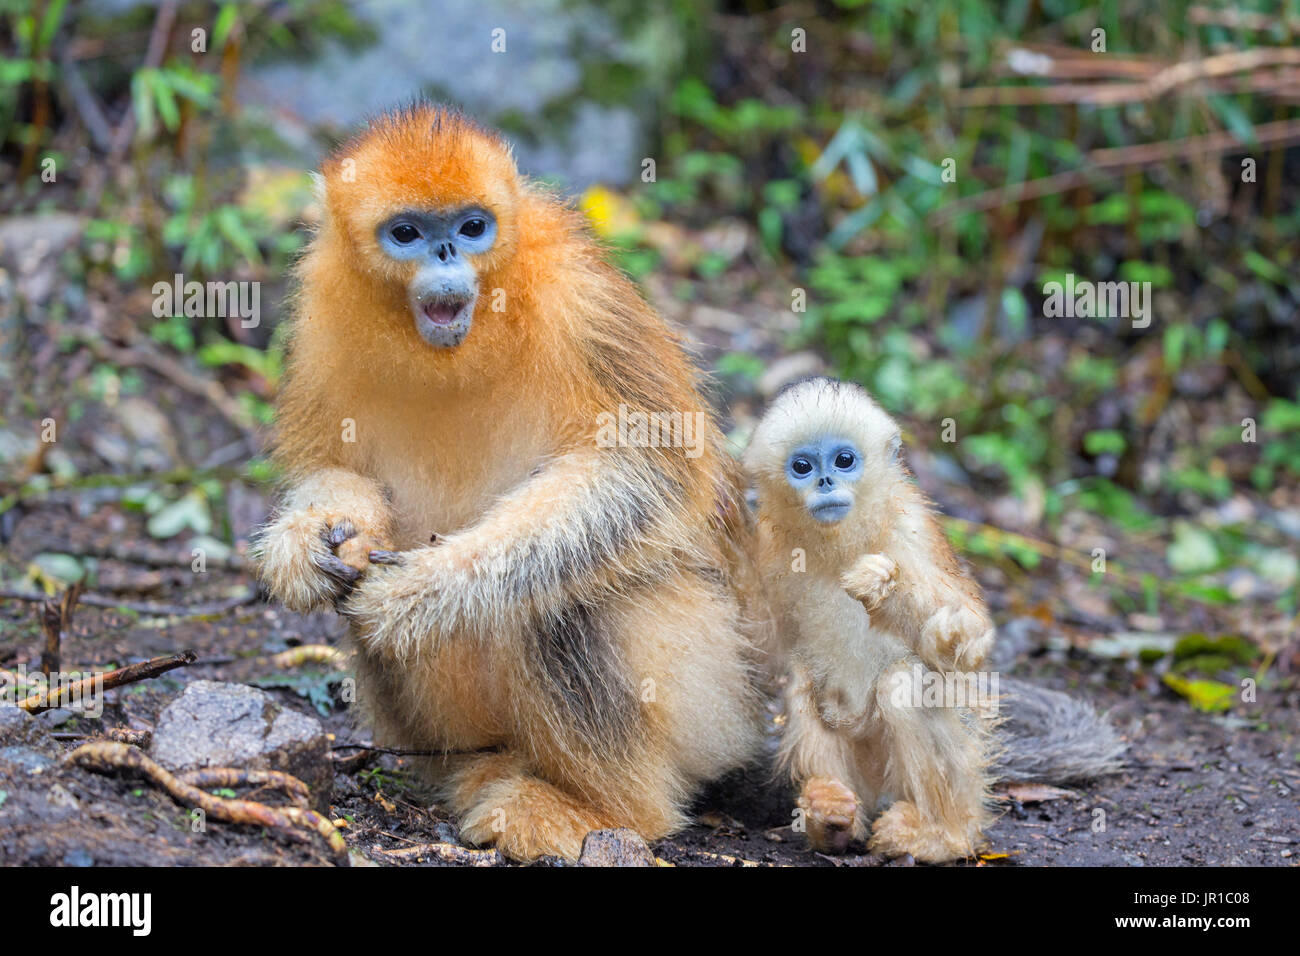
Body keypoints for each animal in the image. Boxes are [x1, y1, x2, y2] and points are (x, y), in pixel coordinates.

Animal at [253, 104, 771, 862]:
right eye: (407, 233)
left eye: (472, 226)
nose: (446, 254)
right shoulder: (322, 315)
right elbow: (334, 470)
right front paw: (308, 543)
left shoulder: (580, 295)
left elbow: (649, 471)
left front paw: (425, 592)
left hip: (712, 695)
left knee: (552, 599)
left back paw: (610, 812)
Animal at [743, 378, 1123, 862]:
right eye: (803, 466)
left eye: (844, 460)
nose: (826, 481)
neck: (840, 547)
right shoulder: (766, 549)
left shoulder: (913, 531)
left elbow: (967, 640)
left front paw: (898, 597)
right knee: (803, 682)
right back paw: (832, 821)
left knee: (903, 681)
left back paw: (942, 835)